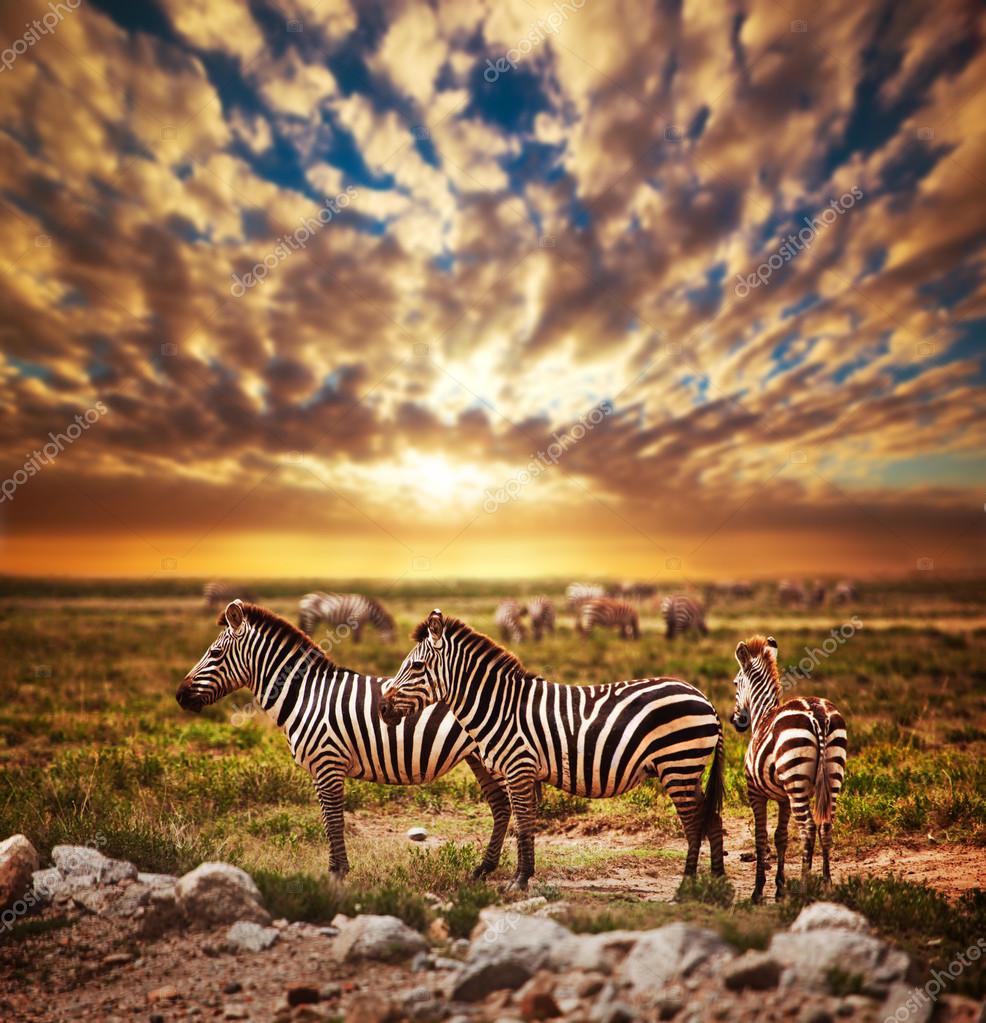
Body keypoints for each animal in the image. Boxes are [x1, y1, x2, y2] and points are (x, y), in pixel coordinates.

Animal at [176, 601, 511, 878]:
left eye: (215, 654)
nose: (180, 695)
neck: (305, 696)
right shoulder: (318, 769)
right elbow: (327, 818)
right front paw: (335, 868)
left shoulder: (328, 762)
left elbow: (334, 820)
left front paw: (338, 873)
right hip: (479, 757)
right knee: (502, 806)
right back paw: (484, 868)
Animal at [380, 609, 725, 890]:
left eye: (417, 666)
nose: (383, 708)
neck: (500, 707)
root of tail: (704, 698)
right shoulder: (519, 772)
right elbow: (525, 824)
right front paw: (522, 876)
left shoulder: (518, 768)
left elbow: (522, 824)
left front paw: (519, 881)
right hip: (687, 769)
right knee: (711, 818)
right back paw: (716, 881)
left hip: (677, 764)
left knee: (694, 821)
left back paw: (687, 885)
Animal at [730, 634, 848, 902]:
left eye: (735, 683)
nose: (736, 721)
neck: (762, 714)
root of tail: (818, 714)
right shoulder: (783, 798)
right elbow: (780, 838)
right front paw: (779, 889)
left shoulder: (755, 792)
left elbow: (761, 837)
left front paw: (758, 891)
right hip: (832, 775)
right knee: (826, 826)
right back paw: (827, 884)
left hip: (797, 783)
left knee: (808, 828)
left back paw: (805, 886)